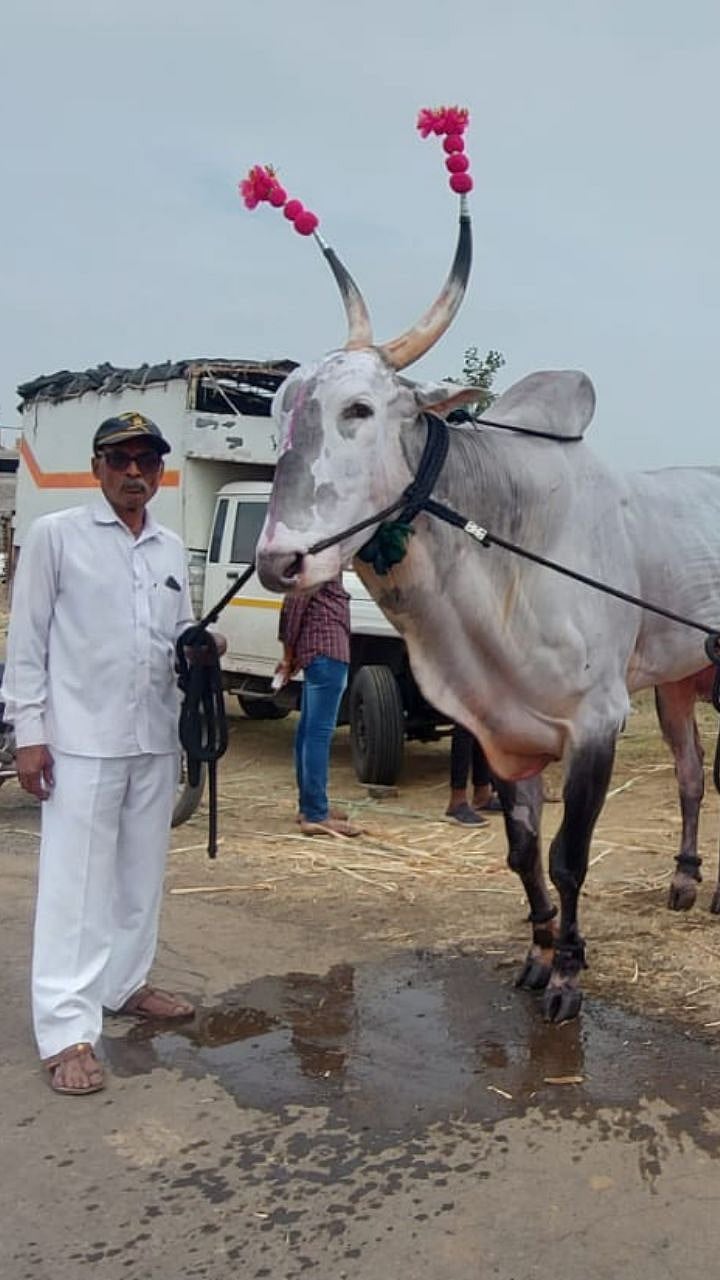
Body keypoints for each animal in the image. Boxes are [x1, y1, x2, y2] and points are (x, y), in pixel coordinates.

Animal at [252, 191, 720, 1023]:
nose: (280, 561)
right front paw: (536, 956)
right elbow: (523, 849)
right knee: (693, 775)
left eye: (359, 409)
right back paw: (686, 877)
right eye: (279, 415)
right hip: (674, 681)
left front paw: (569, 973)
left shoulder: (597, 721)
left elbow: (568, 858)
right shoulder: (502, 729)